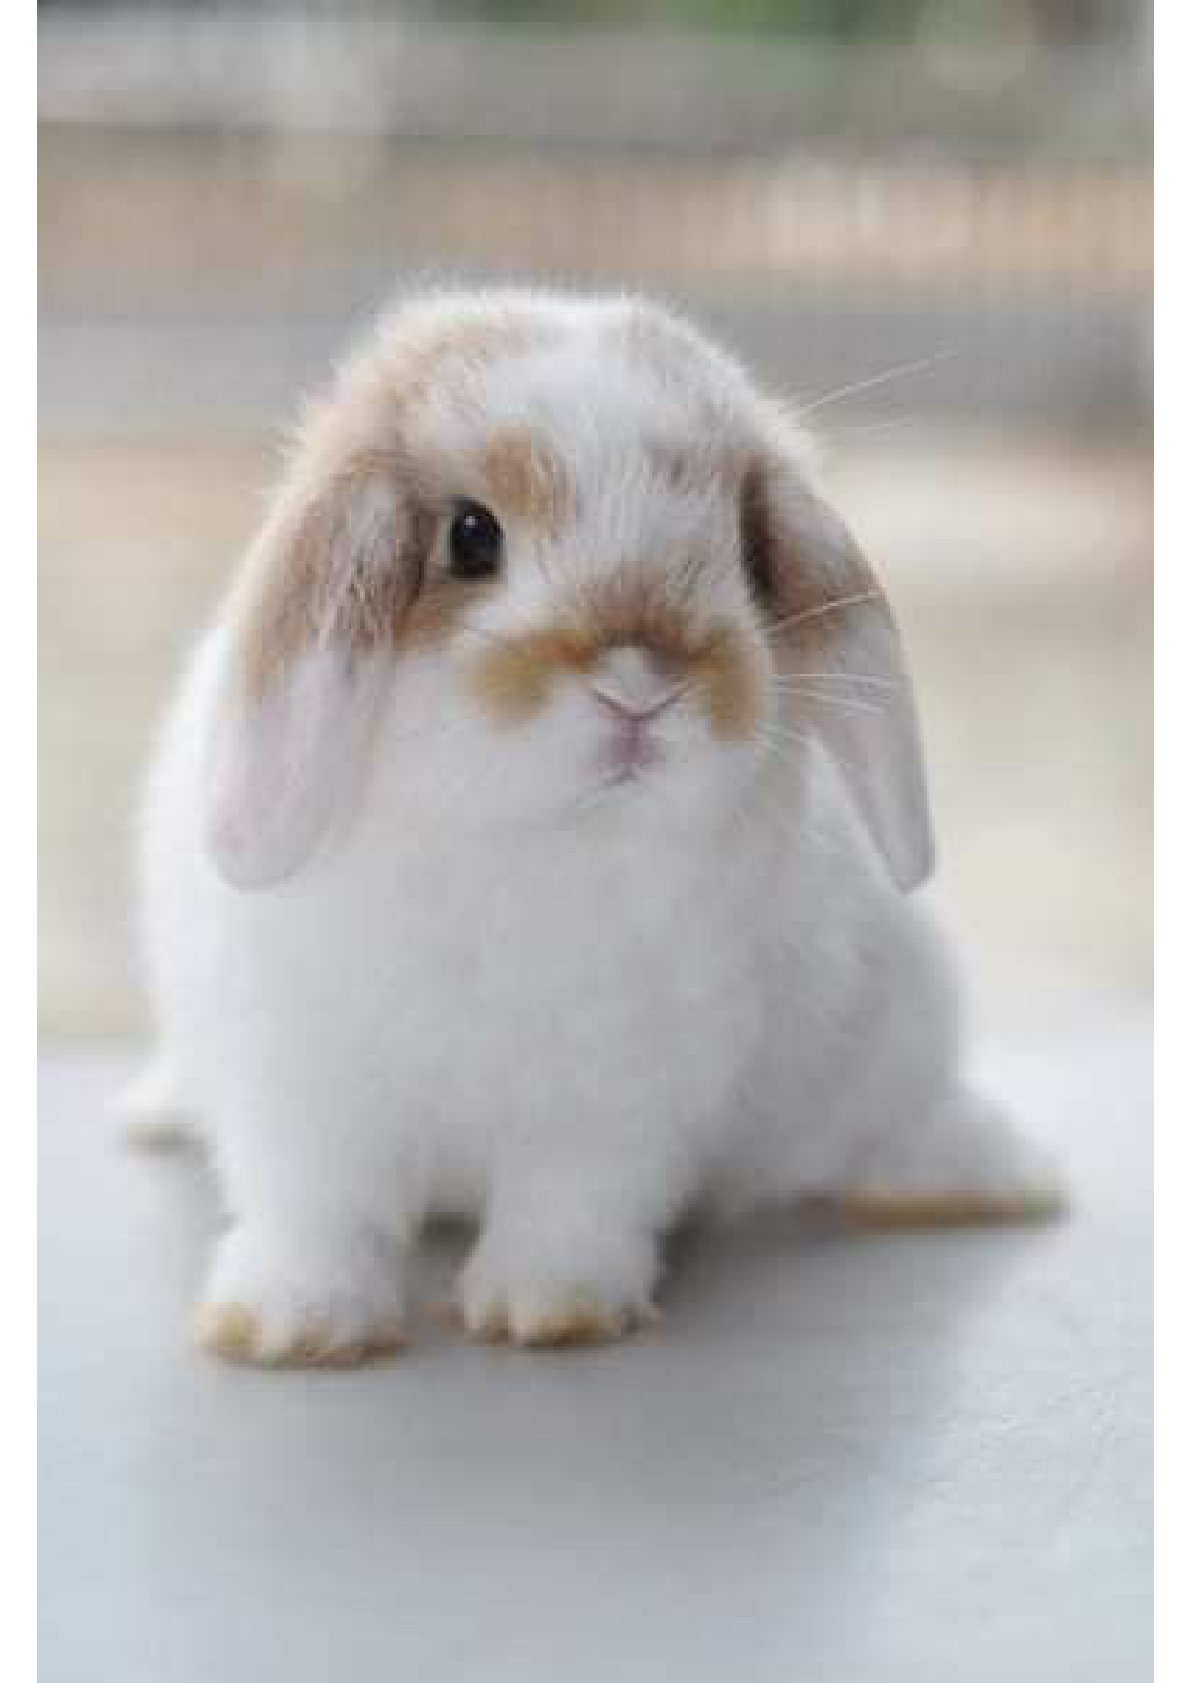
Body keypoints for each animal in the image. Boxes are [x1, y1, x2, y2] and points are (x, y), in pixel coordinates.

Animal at [127, 287, 1061, 1365]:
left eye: (745, 551)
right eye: (471, 536)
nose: (640, 681)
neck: (535, 844)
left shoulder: (619, 1101)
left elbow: (572, 1202)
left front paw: (549, 1308)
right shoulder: (298, 1088)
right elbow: (315, 1209)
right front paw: (289, 1326)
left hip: (896, 1039)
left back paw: (986, 1177)